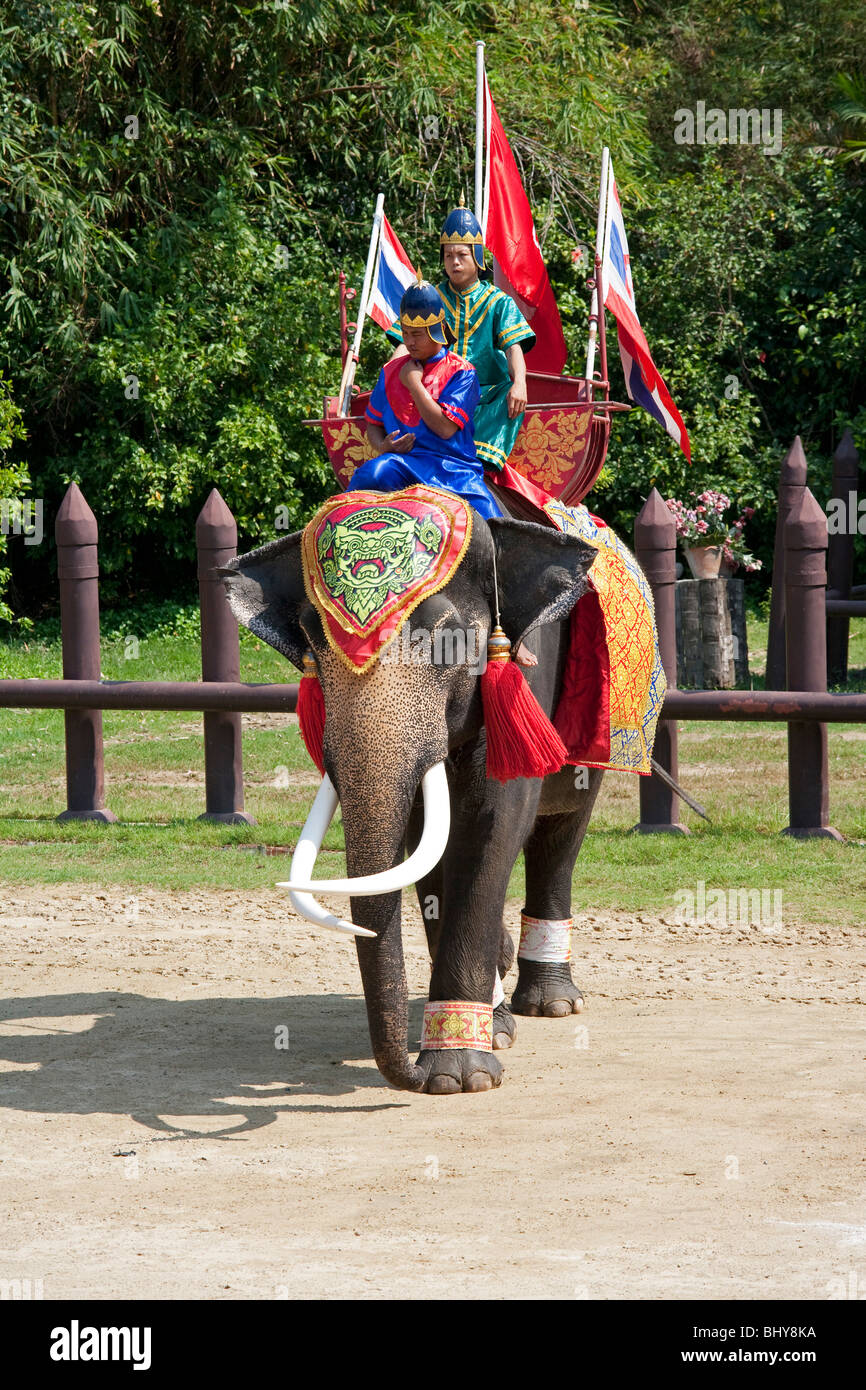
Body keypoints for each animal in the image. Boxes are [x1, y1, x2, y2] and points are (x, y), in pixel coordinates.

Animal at [221, 502, 610, 1094]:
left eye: (445, 636)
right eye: (311, 642)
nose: (412, 1072)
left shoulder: (526, 672)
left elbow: (495, 823)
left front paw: (457, 1077)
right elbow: (426, 841)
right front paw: (474, 1047)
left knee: (561, 832)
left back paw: (553, 1004)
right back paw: (502, 1009)